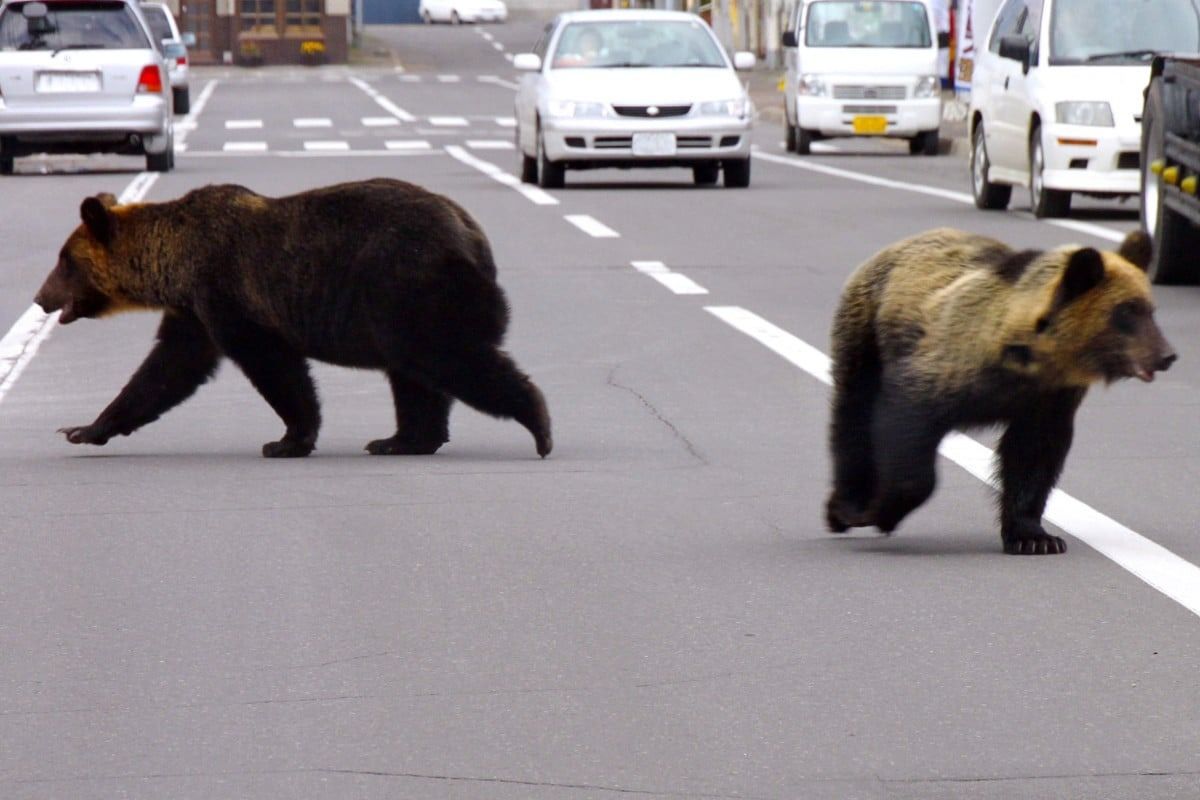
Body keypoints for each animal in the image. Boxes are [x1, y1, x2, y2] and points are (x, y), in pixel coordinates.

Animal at [33, 179, 552, 459]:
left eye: (64, 261)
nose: (40, 298)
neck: (174, 264)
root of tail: (473, 236)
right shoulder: (194, 312)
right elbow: (165, 370)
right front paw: (84, 429)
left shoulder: (227, 293)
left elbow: (273, 366)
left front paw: (287, 439)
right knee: (414, 375)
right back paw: (400, 439)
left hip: (408, 286)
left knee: (448, 358)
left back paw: (538, 425)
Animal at [825, 227, 1176, 555]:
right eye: (1127, 311)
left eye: (1151, 309)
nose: (1167, 355)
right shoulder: (944, 368)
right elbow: (906, 426)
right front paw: (882, 512)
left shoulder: (1048, 399)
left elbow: (1033, 456)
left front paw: (1035, 538)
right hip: (867, 332)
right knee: (853, 412)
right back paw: (845, 506)